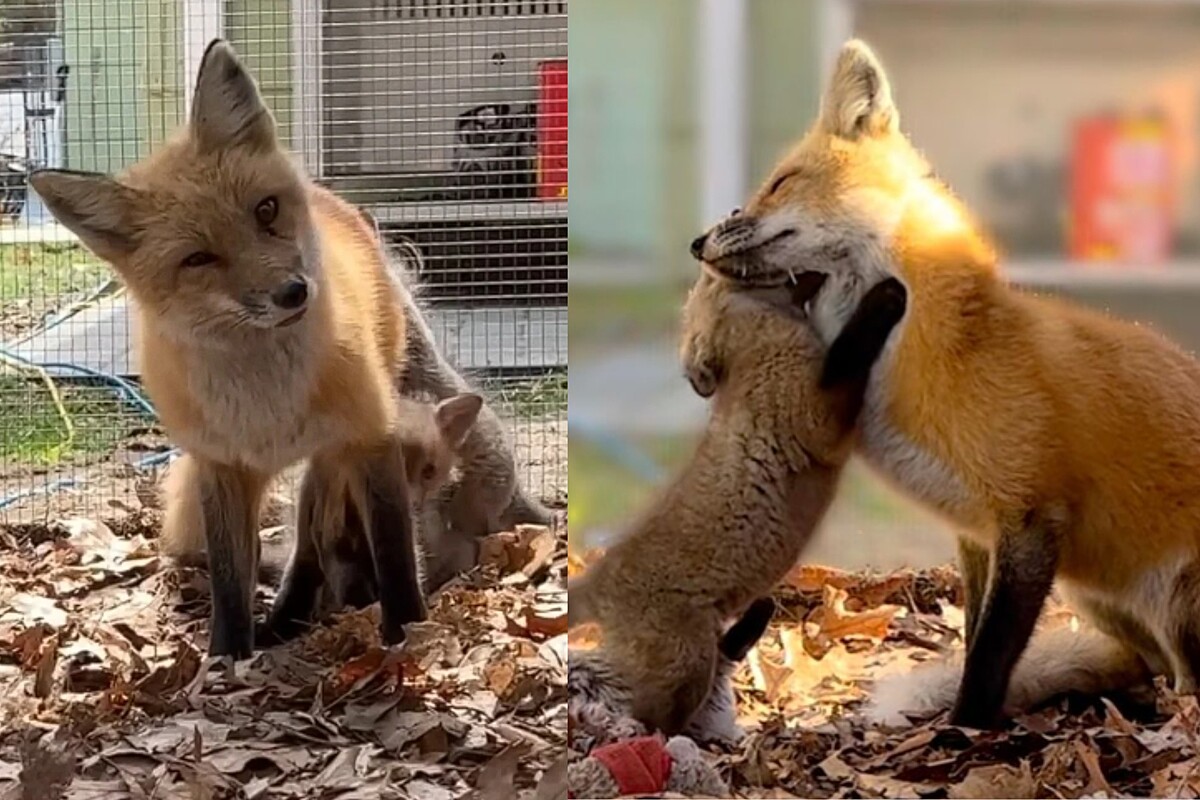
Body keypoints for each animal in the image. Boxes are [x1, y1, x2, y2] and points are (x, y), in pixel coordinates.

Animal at [30, 40, 425, 658]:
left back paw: (291, 614)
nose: (292, 293)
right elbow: (229, 578)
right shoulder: (220, 465)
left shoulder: (369, 437)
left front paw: (409, 634)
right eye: (198, 259)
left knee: (310, 544)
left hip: (330, 460)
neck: (267, 406)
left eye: (265, 210)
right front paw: (228, 657)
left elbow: (394, 556)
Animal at [568, 272, 907, 735]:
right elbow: (850, 353)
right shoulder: (821, 420)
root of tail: (598, 577)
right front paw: (886, 296)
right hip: (687, 664)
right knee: (655, 715)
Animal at [690, 38, 1200, 729]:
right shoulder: (979, 534)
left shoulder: (1030, 519)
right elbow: (973, 634)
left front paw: (965, 729)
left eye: (780, 182)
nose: (696, 242)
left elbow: (988, 659)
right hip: (1095, 595)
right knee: (1156, 671)